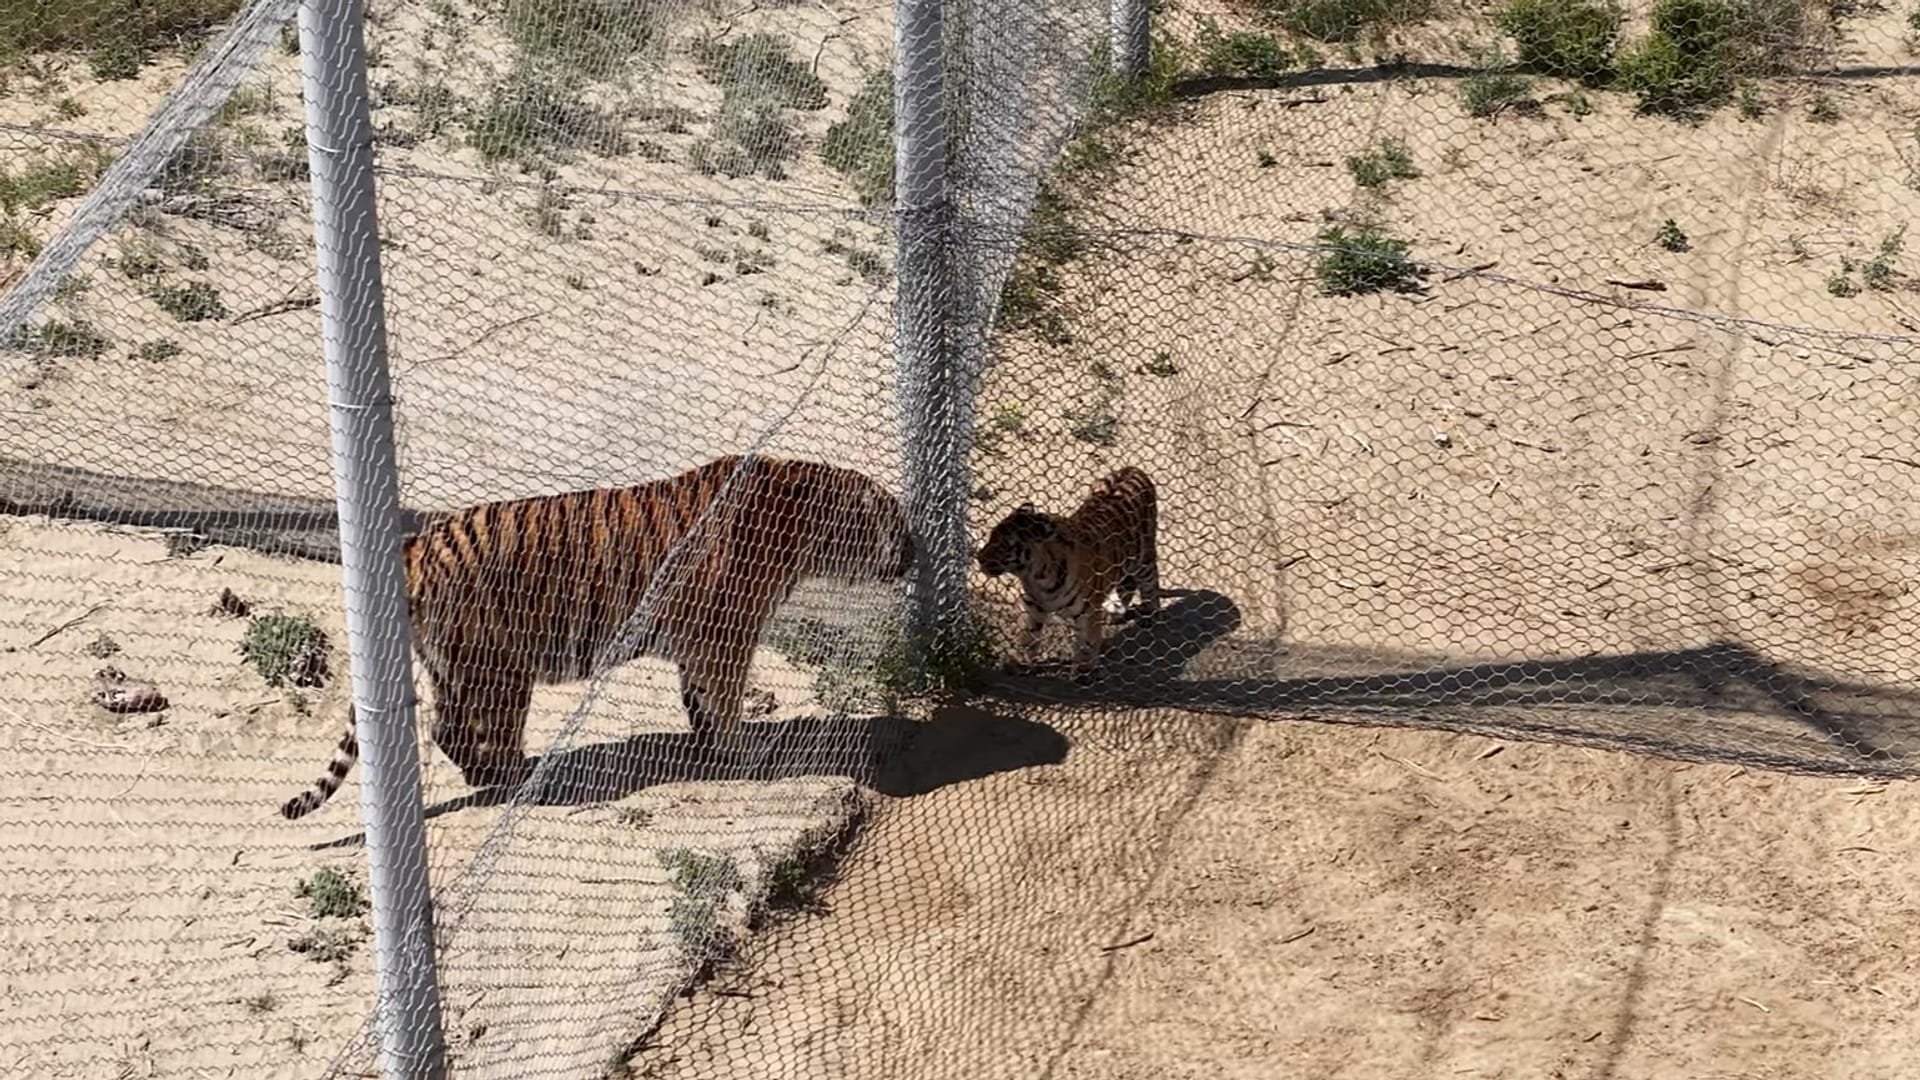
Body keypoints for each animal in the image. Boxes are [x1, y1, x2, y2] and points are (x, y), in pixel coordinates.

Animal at [279, 454, 915, 820]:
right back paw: (519, 779)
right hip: (501, 667)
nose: (915, 555)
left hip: (456, 663)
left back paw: (492, 776)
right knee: (478, 732)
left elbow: (699, 698)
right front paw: (742, 749)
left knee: (446, 727)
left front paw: (709, 743)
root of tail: (415, 543)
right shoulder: (726, 633)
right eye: (901, 528)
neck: (812, 530)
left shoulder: (699, 639)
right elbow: (725, 697)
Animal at [975, 465, 1160, 675]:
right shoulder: (1034, 607)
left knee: (1151, 581)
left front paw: (1084, 672)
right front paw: (1019, 663)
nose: (979, 557)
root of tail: (1133, 469)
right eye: (991, 536)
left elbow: (1087, 644)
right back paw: (1116, 614)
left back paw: (1150, 613)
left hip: (1142, 558)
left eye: (1004, 546)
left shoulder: (1088, 612)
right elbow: (1029, 638)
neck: (1036, 577)